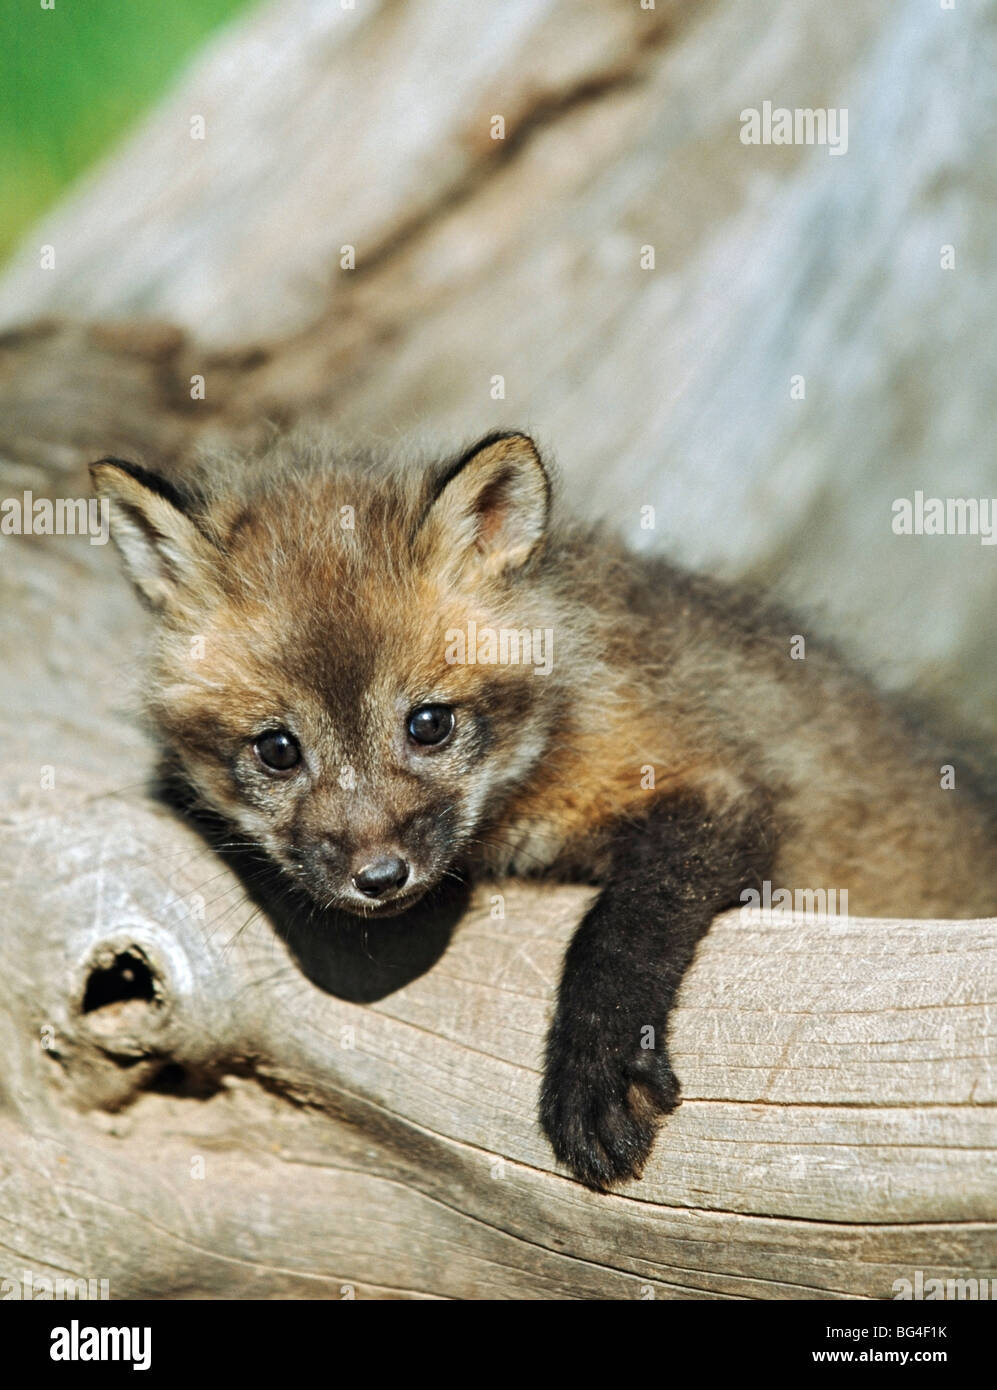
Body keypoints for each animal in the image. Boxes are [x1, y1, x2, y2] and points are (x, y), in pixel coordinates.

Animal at [91, 429, 997, 1190]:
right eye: (277, 750)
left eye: (429, 724)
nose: (379, 878)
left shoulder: (710, 780)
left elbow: (620, 932)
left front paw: (596, 1072)